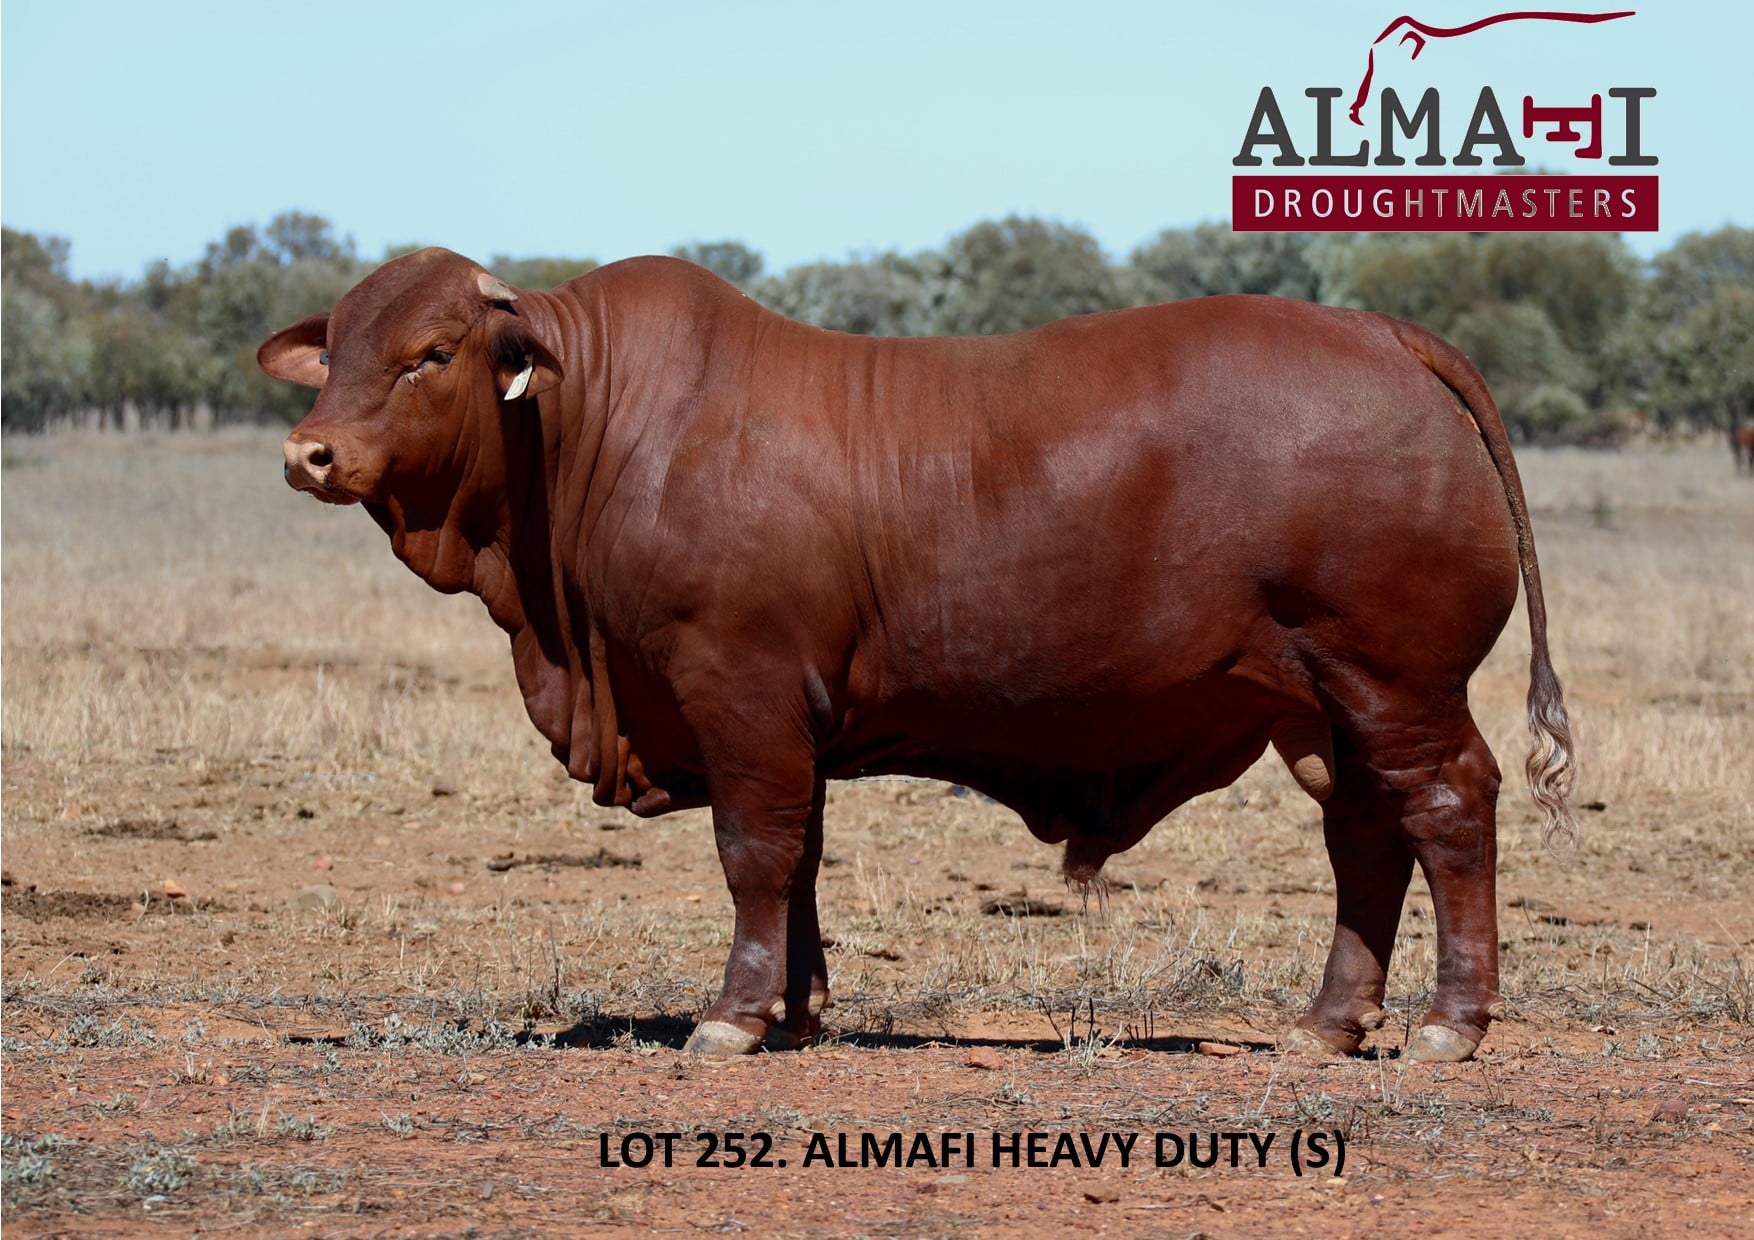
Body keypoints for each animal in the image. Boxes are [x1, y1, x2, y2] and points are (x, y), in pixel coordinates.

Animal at [260, 247, 1575, 1062]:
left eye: (431, 351)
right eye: (338, 349)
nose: (309, 454)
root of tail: (1378, 332)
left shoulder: (734, 688)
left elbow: (752, 852)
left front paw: (730, 1016)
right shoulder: (786, 715)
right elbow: (798, 857)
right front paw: (796, 1009)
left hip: (1394, 681)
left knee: (1447, 809)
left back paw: (1451, 1022)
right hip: (1318, 700)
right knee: (1364, 838)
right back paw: (1326, 1020)